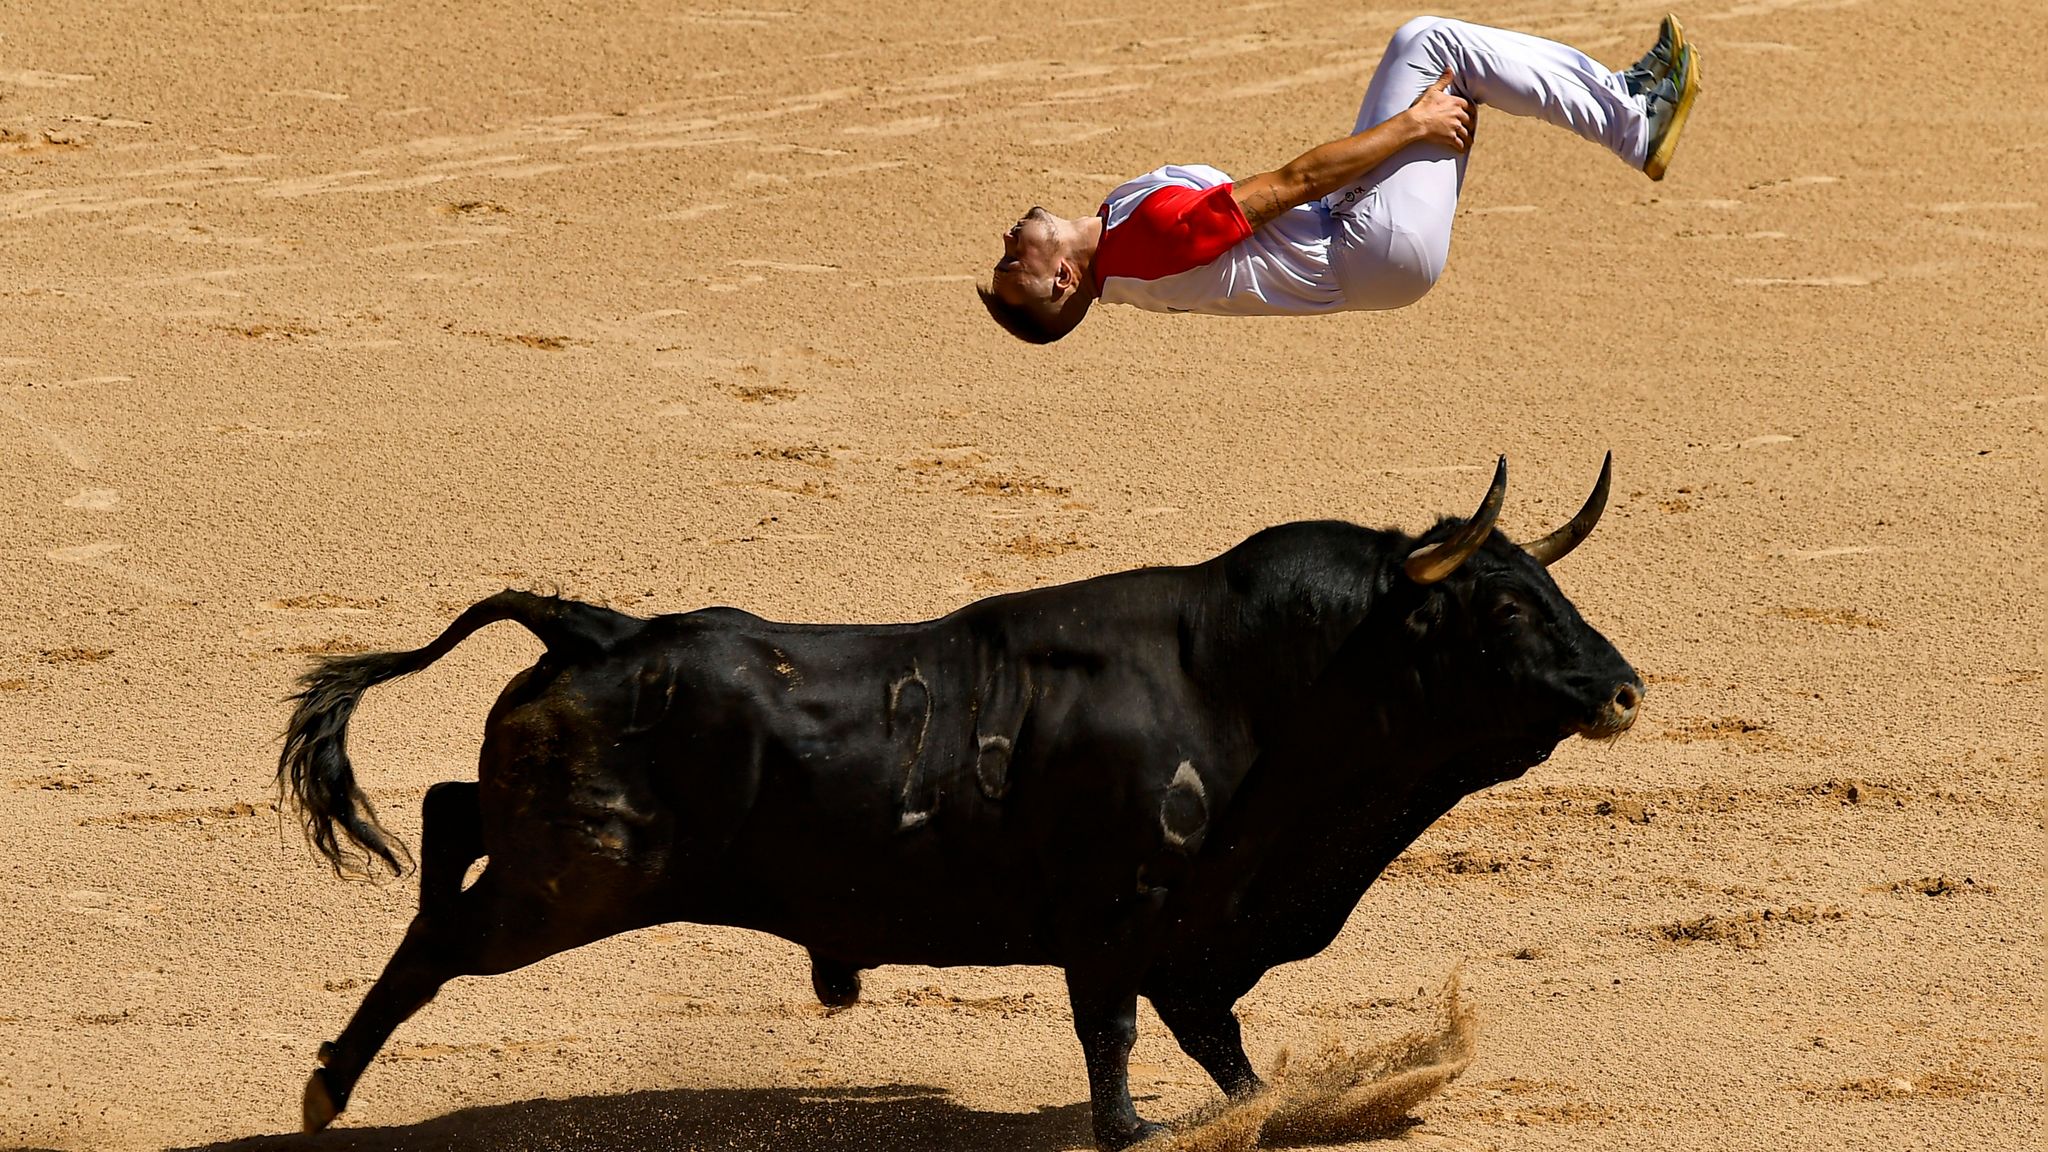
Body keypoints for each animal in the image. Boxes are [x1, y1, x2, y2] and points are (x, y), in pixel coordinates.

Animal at [279, 455, 1640, 1149]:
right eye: (1502, 606)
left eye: (1548, 592)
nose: (1625, 688)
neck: (1254, 679)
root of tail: (595, 628)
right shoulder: (1118, 916)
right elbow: (1118, 1033)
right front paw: (1136, 1132)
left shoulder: (1194, 924)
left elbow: (1215, 1038)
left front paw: (1275, 1106)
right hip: (574, 884)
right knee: (440, 937)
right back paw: (326, 1091)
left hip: (551, 856)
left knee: (447, 816)